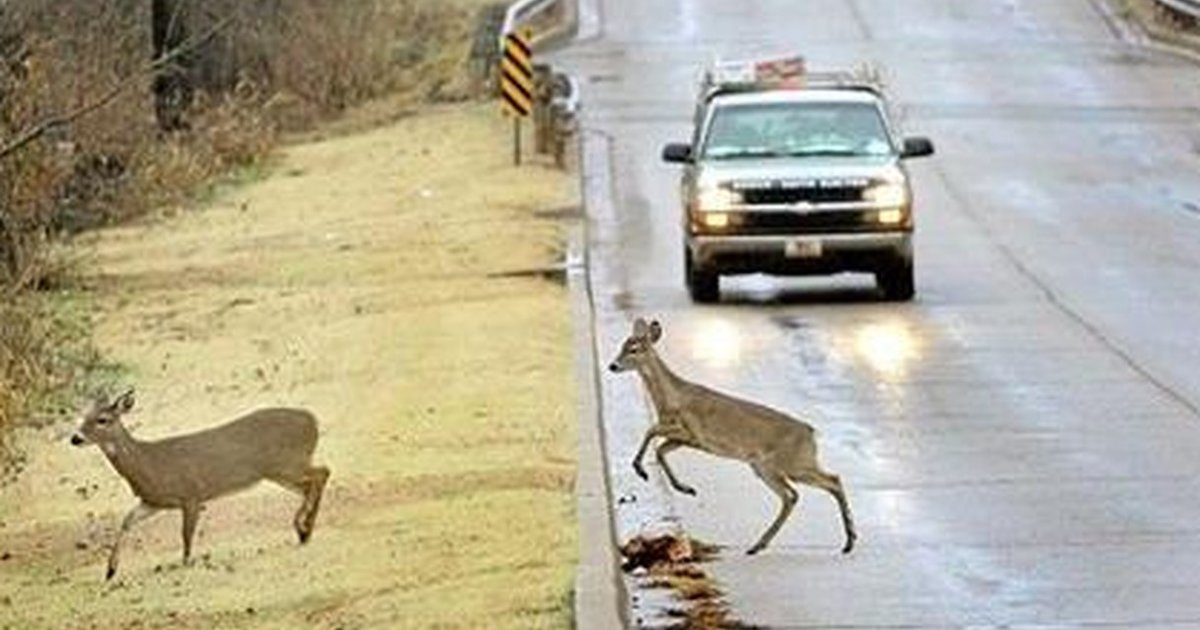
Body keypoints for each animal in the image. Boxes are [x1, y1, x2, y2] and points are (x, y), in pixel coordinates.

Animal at [69, 388, 330, 580]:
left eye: (103, 420)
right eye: (82, 418)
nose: (75, 438)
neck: (151, 464)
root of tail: (313, 420)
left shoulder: (191, 494)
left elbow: (186, 533)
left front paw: (186, 562)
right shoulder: (153, 501)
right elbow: (127, 521)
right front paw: (110, 570)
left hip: (287, 464)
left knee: (322, 473)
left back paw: (302, 525)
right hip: (281, 471)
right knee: (313, 483)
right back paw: (305, 530)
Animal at [608, 318, 856, 555]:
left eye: (634, 349)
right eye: (622, 345)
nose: (612, 365)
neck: (671, 399)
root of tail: (811, 433)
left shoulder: (692, 431)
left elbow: (650, 432)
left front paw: (641, 469)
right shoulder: (688, 439)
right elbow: (660, 449)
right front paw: (684, 488)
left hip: (789, 463)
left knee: (825, 482)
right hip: (767, 466)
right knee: (799, 493)